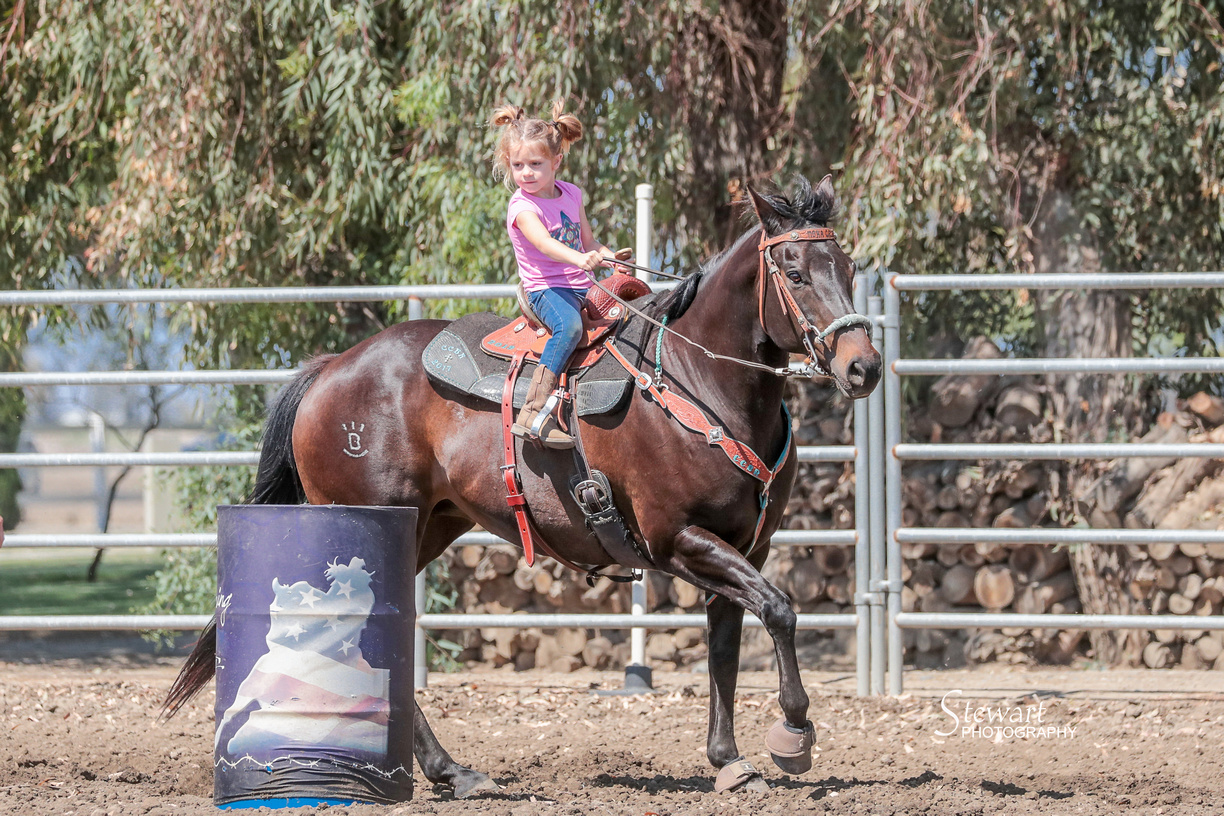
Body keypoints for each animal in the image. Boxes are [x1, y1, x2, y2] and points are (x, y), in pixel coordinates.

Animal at [167, 174, 881, 796]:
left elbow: (728, 648)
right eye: (794, 272)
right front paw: (794, 735)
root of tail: (331, 369)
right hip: (368, 520)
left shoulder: (742, 545)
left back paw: (444, 770)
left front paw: (731, 761)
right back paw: (429, 769)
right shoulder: (677, 540)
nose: (863, 367)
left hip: (429, 527)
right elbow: (781, 609)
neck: (695, 378)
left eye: (848, 270)